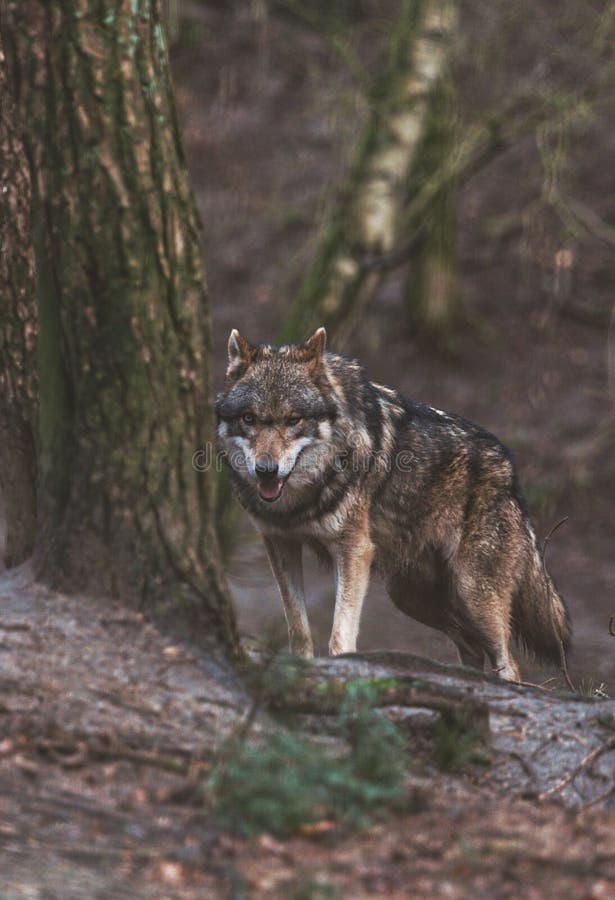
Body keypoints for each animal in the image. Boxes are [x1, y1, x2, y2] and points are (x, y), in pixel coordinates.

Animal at [216, 327, 571, 681]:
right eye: (249, 418)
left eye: (293, 420)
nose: (266, 470)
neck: (297, 503)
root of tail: (510, 469)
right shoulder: (280, 544)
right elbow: (299, 631)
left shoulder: (353, 550)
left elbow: (340, 637)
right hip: (410, 595)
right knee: (471, 648)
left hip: (473, 593)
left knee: (508, 662)